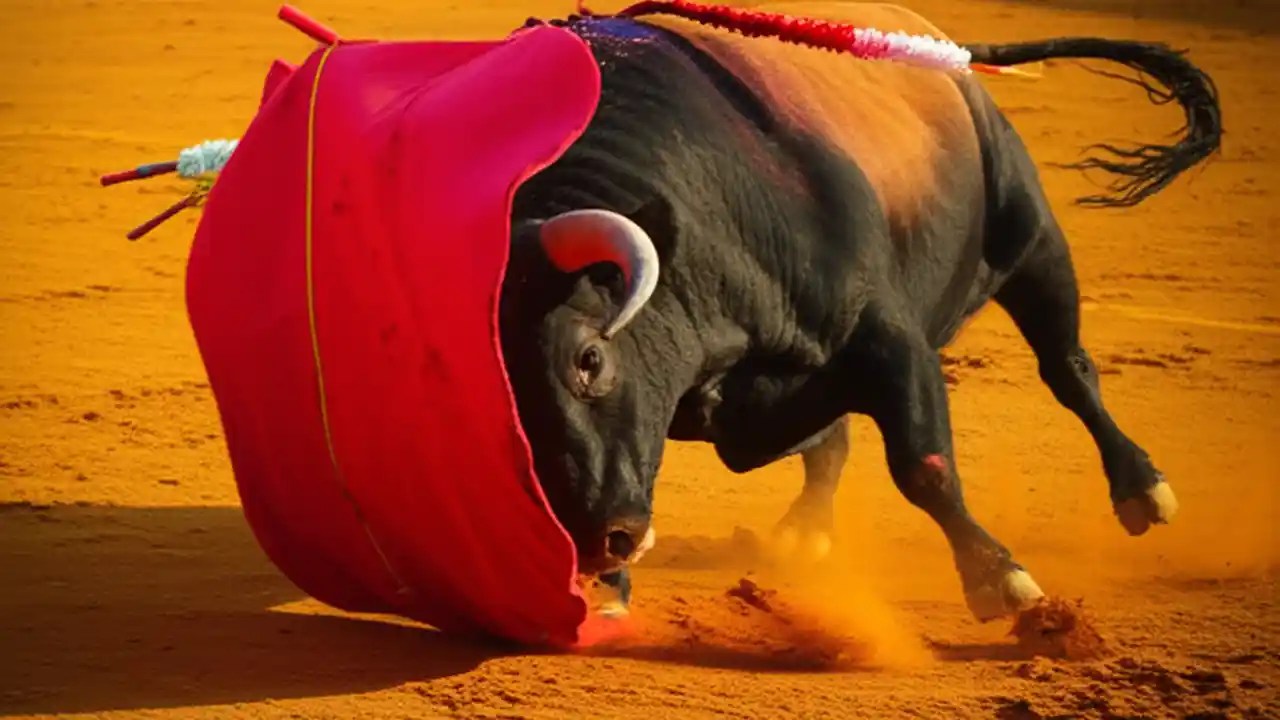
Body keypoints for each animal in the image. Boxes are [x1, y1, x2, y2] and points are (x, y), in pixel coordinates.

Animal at [497, 2, 1221, 622]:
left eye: (590, 358)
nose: (598, 541)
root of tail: (936, 40)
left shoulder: (889, 339)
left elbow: (923, 465)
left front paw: (1001, 580)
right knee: (833, 442)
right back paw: (803, 532)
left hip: (1032, 235)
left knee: (1068, 367)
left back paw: (1142, 489)